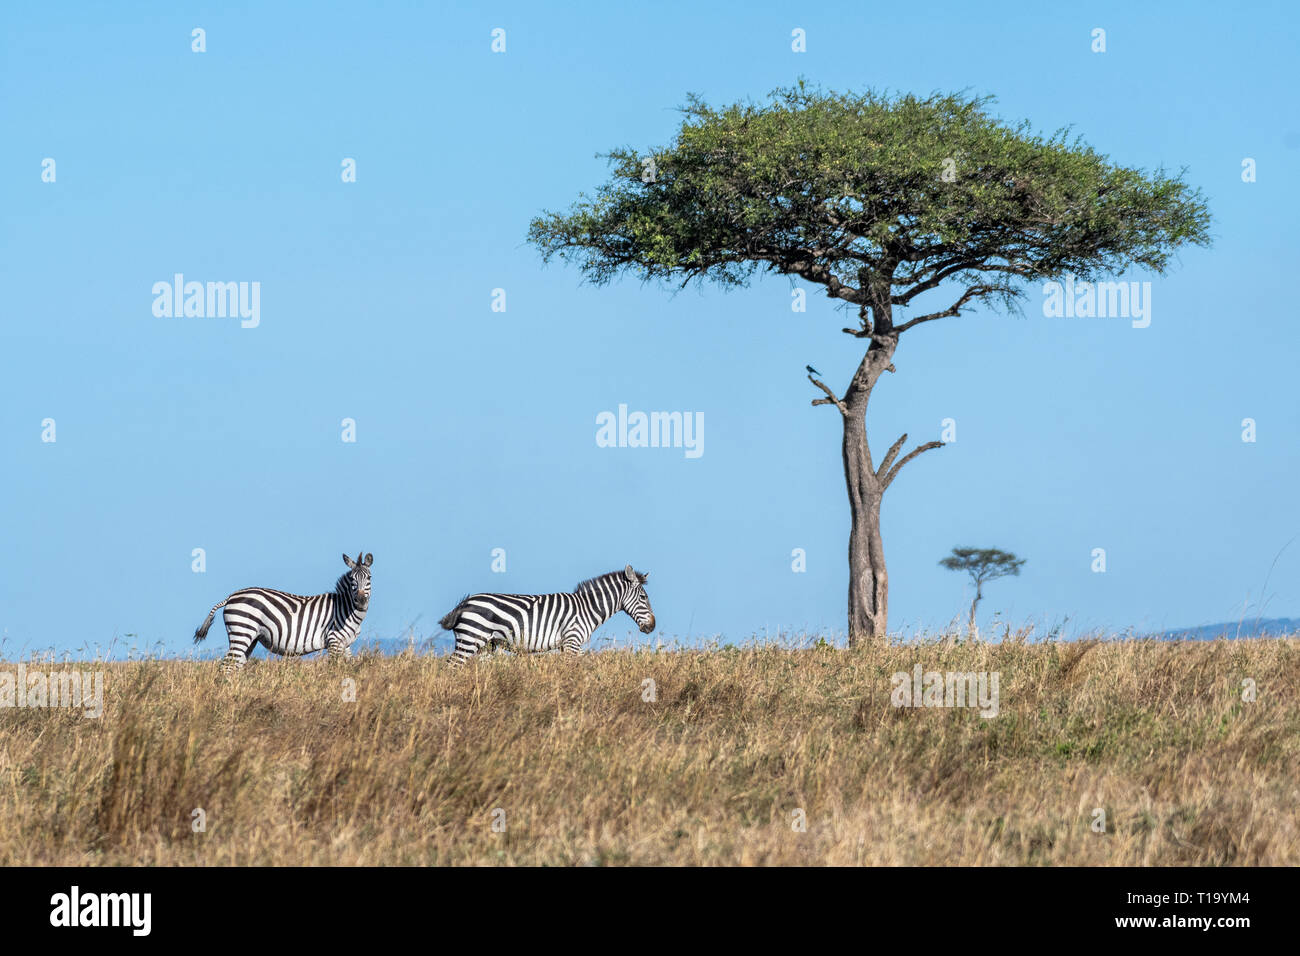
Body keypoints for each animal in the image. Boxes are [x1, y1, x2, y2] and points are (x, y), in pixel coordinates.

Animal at [193, 552, 373, 671]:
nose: (361, 601)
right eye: (352, 580)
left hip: (249, 638)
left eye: (369, 578)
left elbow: (350, 668)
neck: (346, 610)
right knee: (227, 666)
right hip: (241, 632)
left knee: (236, 666)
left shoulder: (346, 644)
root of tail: (230, 596)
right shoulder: (334, 641)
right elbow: (335, 669)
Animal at [438, 564, 655, 665]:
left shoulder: (570, 645)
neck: (587, 608)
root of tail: (465, 603)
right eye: (643, 597)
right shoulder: (572, 641)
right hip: (471, 639)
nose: (652, 627)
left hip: (485, 645)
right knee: (452, 667)